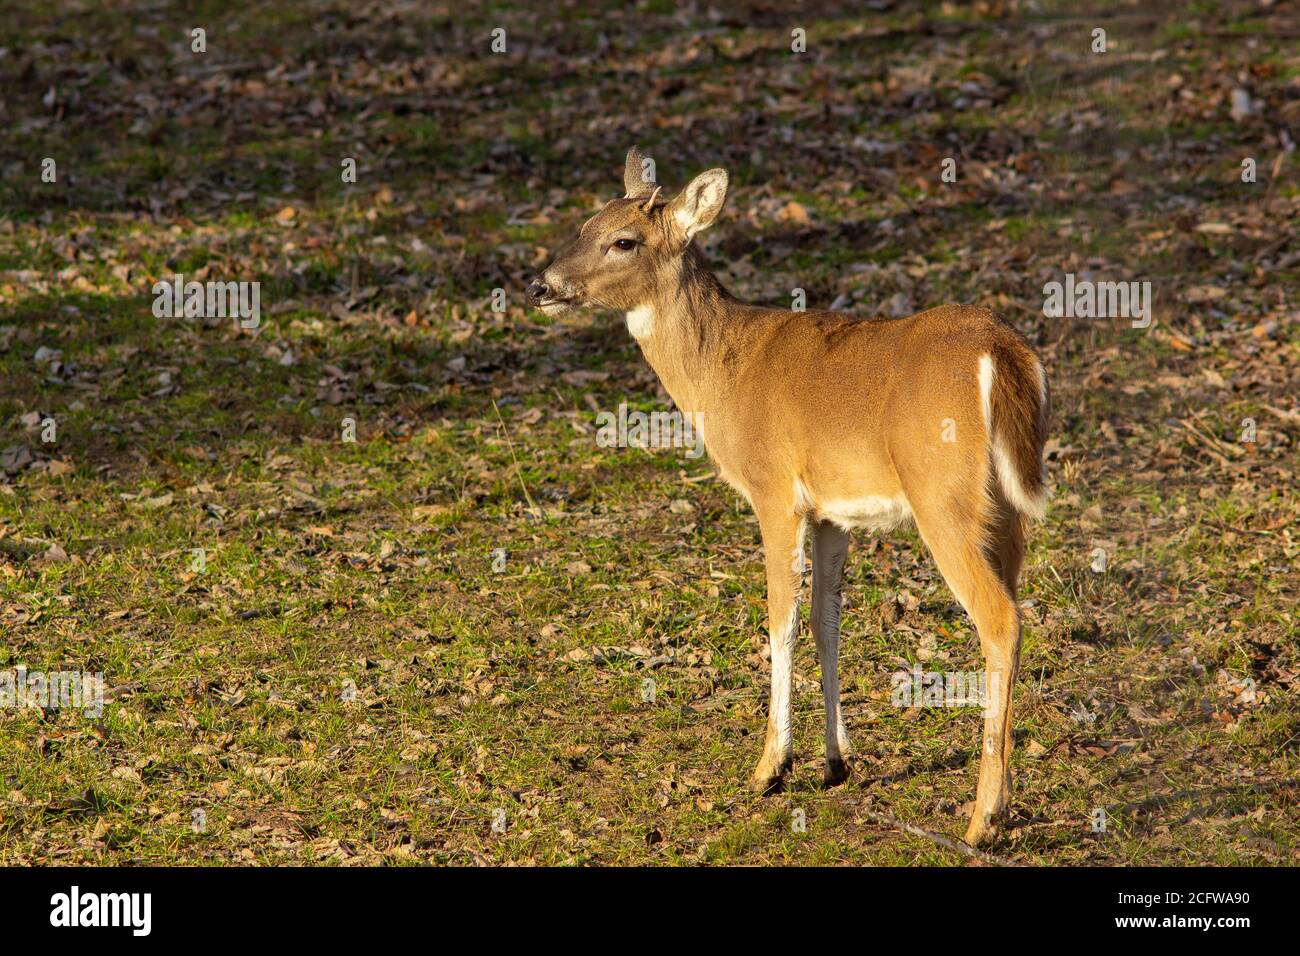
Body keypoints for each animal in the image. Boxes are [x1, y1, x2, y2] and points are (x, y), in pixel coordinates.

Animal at [527, 147, 1050, 846]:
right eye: (585, 222)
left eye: (623, 240)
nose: (540, 285)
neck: (721, 371)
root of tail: (1002, 350)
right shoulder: (832, 511)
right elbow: (829, 620)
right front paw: (836, 761)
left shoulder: (774, 490)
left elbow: (782, 621)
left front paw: (769, 768)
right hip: (1006, 509)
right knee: (1014, 609)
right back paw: (1002, 803)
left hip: (942, 496)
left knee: (999, 619)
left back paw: (981, 819)